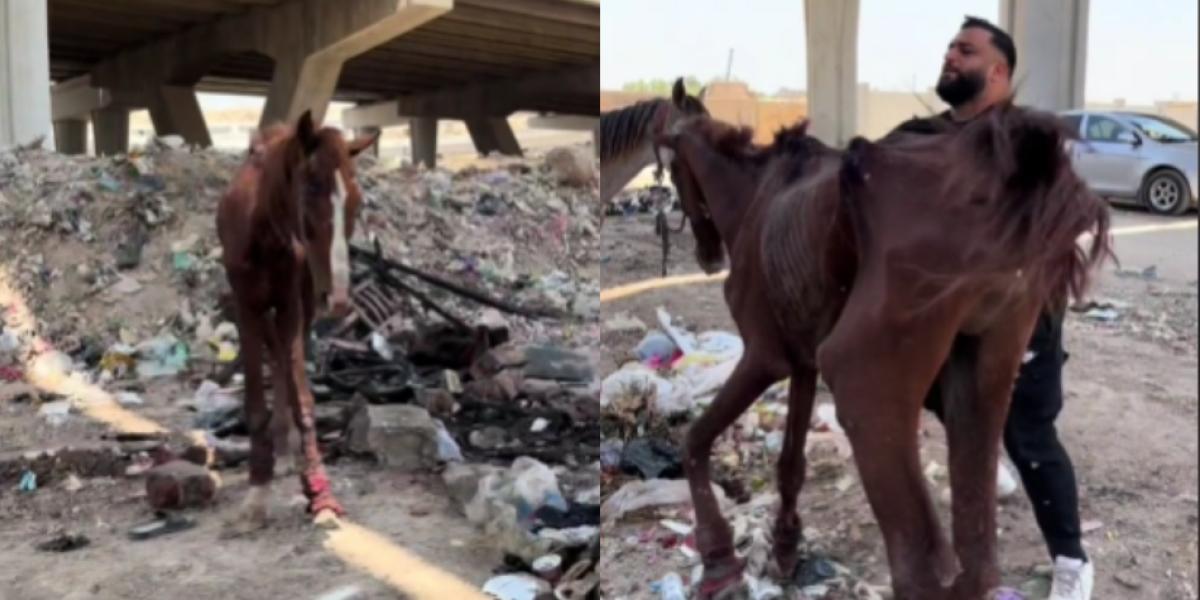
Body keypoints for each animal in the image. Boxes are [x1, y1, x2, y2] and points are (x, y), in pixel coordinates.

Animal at [217, 110, 377, 527]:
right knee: (274, 354)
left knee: (285, 361)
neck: (263, 230)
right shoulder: (246, 306)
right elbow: (256, 401)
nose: (337, 298)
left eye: (356, 204)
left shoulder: (292, 301)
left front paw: (321, 490)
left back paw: (288, 450)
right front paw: (257, 490)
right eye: (311, 189)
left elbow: (302, 394)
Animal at [653, 105, 1111, 599]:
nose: (707, 256)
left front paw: (718, 558)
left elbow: (695, 441)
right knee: (978, 558)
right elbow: (790, 464)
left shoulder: (763, 356)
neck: (758, 195)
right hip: (989, 364)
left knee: (921, 570)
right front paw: (785, 546)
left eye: (672, 172)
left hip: (864, 385)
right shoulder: (802, 360)